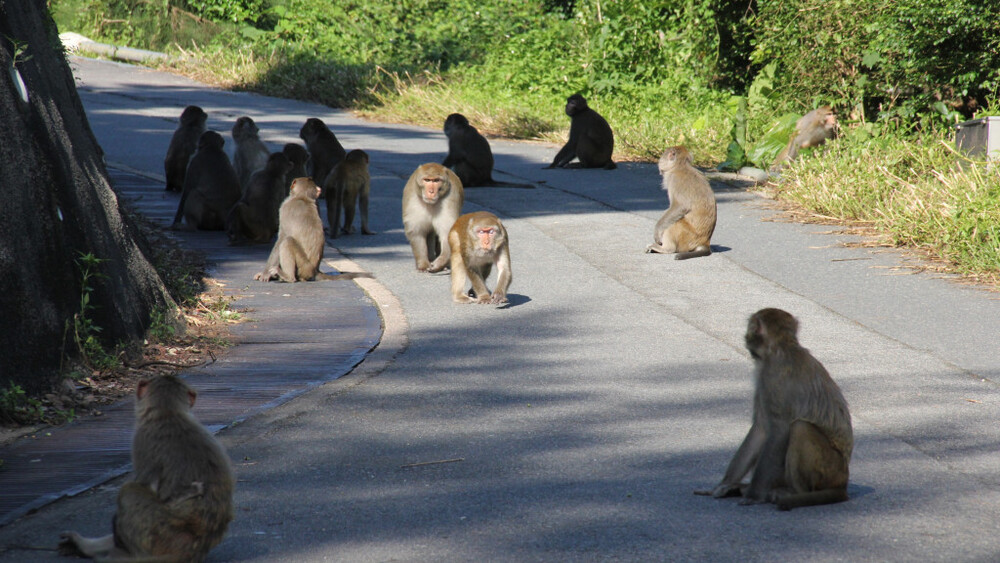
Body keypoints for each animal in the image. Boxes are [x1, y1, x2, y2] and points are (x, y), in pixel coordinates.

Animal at [59, 375, 234, 562]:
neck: (168, 412)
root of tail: (194, 551)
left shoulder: (141, 440)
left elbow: (146, 486)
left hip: (161, 534)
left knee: (129, 492)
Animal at [695, 308, 853, 510]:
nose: (746, 336)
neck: (782, 347)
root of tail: (843, 482)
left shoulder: (770, 377)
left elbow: (779, 431)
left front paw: (754, 495)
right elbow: (761, 429)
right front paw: (724, 484)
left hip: (830, 470)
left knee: (800, 427)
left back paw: (793, 493)